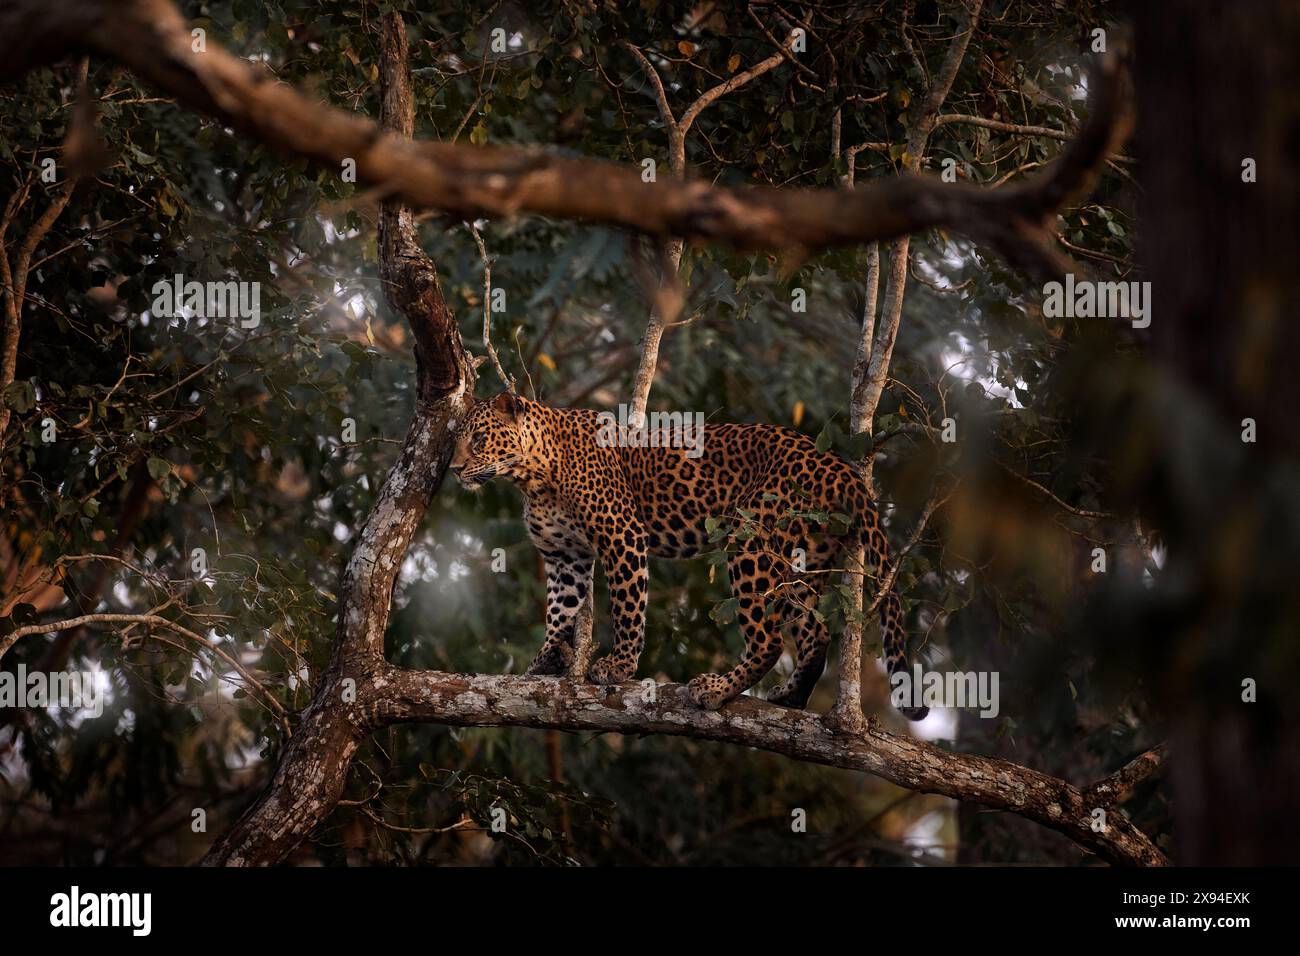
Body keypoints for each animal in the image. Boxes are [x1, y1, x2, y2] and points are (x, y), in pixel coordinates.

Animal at [448, 391, 928, 720]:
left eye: (479, 437)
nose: (453, 469)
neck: (532, 475)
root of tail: (830, 461)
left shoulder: (622, 534)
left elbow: (627, 608)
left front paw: (619, 666)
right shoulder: (565, 556)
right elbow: (559, 611)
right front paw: (543, 662)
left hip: (751, 542)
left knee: (770, 640)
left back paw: (717, 688)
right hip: (803, 557)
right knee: (816, 630)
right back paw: (790, 695)